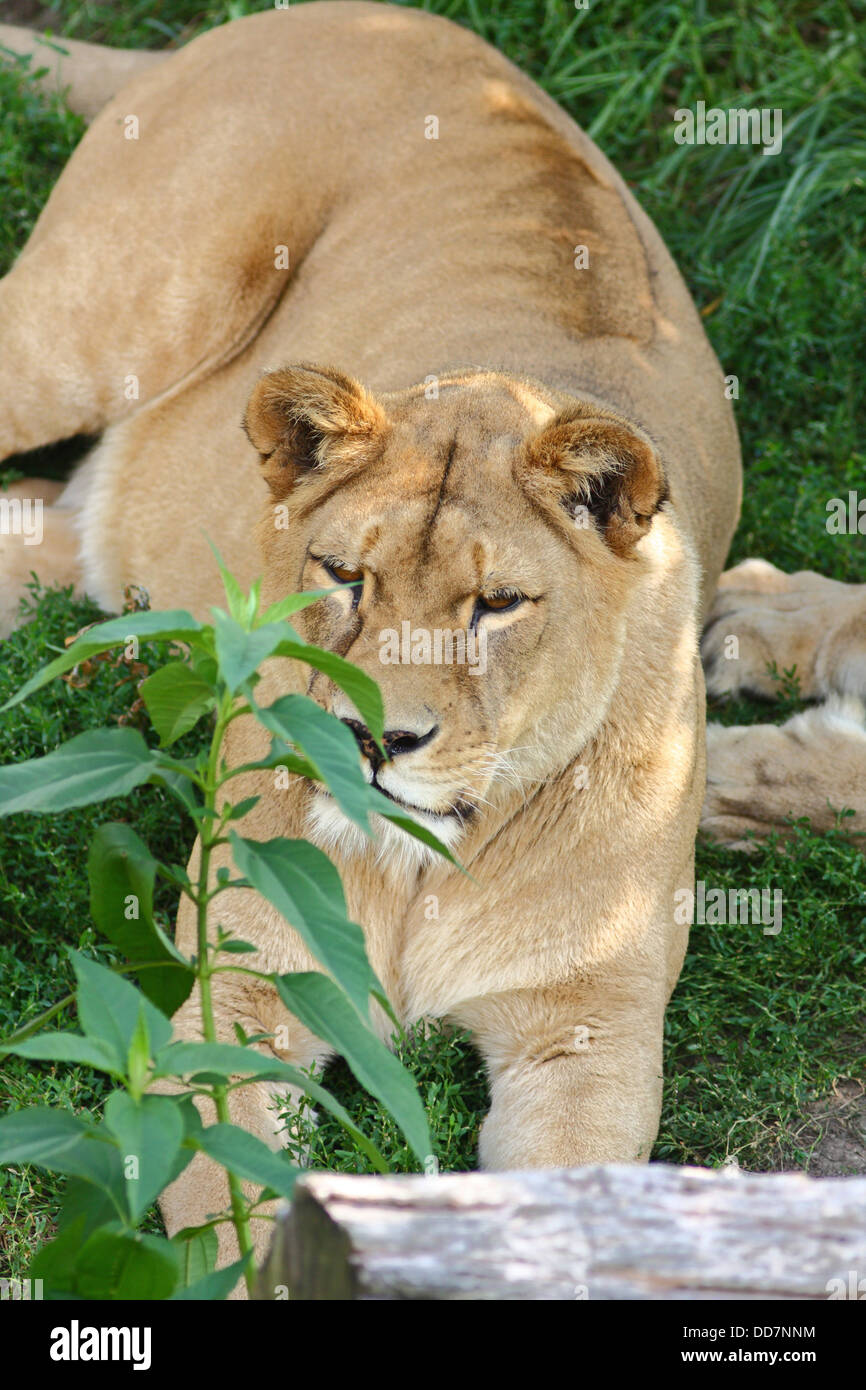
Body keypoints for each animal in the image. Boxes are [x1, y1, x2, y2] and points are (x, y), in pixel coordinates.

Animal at [1, 2, 864, 1291]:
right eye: (343, 576)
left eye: (496, 605)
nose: (373, 739)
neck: (422, 867)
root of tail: (324, 15)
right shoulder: (239, 996)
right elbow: (224, 1215)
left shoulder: (588, 1035)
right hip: (87, 329)